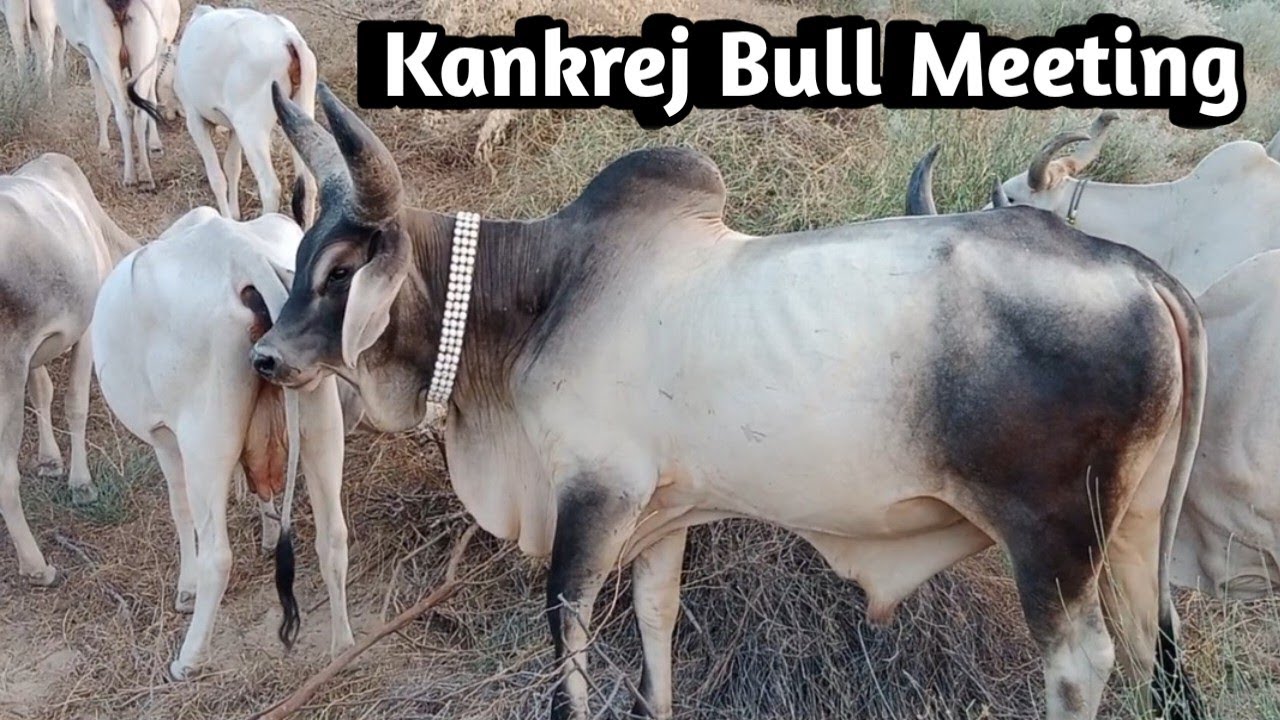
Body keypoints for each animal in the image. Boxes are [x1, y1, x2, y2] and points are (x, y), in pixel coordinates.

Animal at [0, 152, 136, 585]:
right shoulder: (85, 328)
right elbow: (76, 403)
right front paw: (82, 484)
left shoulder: (33, 350)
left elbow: (43, 391)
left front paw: (50, 461)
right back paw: (35, 565)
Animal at [54, 0, 180, 189]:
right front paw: (154, 145)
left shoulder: (92, 58)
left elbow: (104, 104)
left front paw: (104, 147)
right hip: (136, 46)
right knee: (133, 112)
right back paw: (141, 176)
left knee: (126, 110)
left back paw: (134, 176)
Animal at [90, 206, 354, 680]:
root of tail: (240, 254)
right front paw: (266, 531)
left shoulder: (165, 437)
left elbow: (180, 512)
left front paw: (186, 589)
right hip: (320, 422)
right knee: (333, 535)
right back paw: (342, 647)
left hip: (204, 442)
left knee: (217, 553)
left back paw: (189, 657)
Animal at [131, 5, 318, 226]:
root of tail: (287, 38)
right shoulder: (234, 127)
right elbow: (232, 167)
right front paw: (235, 214)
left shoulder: (195, 120)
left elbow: (217, 177)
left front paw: (226, 219)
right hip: (299, 113)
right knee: (310, 184)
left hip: (252, 128)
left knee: (270, 188)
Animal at [250, 84, 1207, 720]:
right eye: (301, 258)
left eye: (342, 269)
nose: (265, 357)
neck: (542, 297)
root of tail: (1140, 273)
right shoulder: (662, 516)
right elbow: (656, 629)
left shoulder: (591, 502)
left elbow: (568, 646)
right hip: (1133, 528)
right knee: (1149, 640)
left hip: (1052, 537)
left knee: (1082, 662)